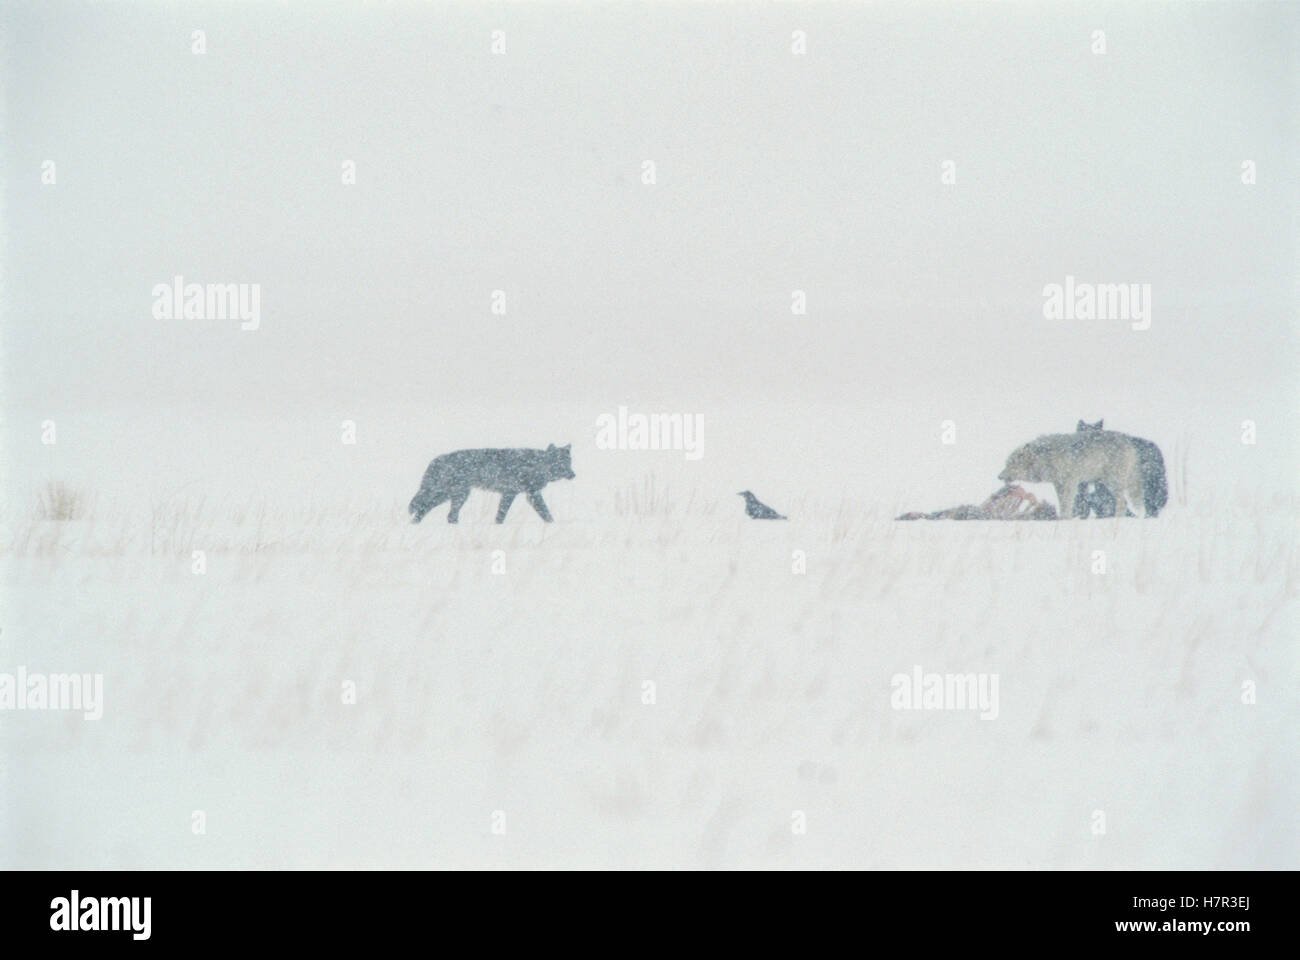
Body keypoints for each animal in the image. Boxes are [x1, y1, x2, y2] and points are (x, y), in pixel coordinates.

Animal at [408, 444, 575, 524]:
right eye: (561, 464)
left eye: (569, 463)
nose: (574, 475)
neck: (536, 464)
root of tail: (437, 459)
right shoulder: (528, 494)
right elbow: (545, 512)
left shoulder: (513, 493)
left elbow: (501, 514)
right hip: (452, 495)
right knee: (430, 510)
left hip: (453, 496)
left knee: (441, 513)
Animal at [998, 431, 1145, 520]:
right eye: (1005, 464)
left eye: (1011, 465)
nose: (998, 476)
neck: (1045, 458)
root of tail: (1129, 444)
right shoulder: (1058, 484)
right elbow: (1062, 502)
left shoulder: (1070, 482)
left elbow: (1066, 503)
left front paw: (1064, 519)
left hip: (1112, 483)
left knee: (1123, 503)